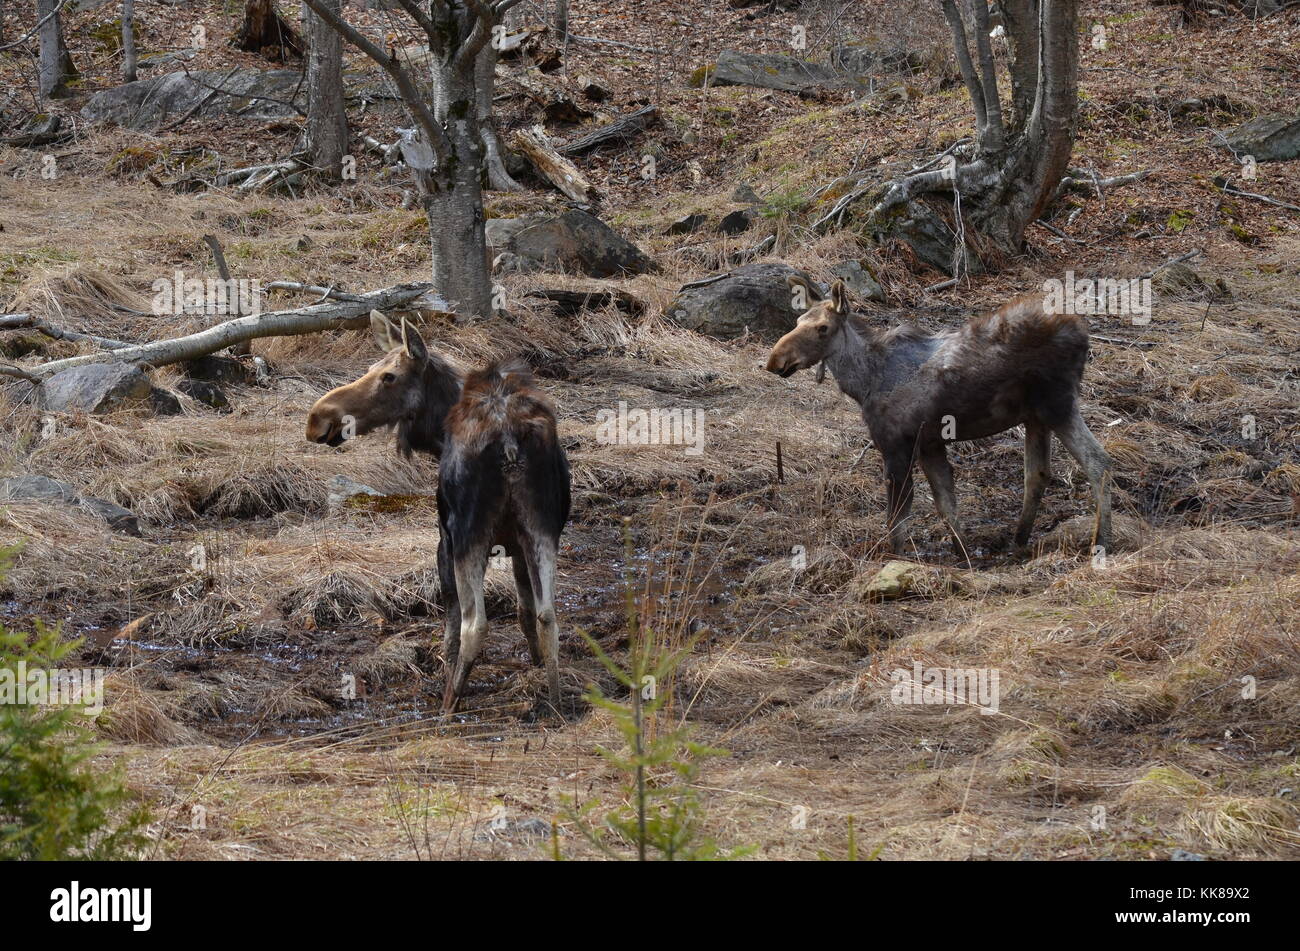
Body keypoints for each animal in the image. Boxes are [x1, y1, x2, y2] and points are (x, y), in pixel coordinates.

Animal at [305, 311, 571, 716]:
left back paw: (448, 705)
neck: (437, 435)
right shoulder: (518, 544)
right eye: (372, 368)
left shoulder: (444, 541)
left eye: (389, 376)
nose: (318, 418)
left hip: (467, 535)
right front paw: (536, 666)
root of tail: (508, 439)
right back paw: (555, 705)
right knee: (549, 616)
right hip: (542, 528)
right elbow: (527, 611)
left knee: (474, 624)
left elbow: (449, 628)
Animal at [765, 278, 1112, 558]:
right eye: (798, 320)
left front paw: (894, 561)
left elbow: (897, 520)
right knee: (1037, 475)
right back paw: (1019, 540)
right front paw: (965, 557)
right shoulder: (930, 444)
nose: (775, 359)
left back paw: (1101, 541)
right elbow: (946, 506)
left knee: (1097, 461)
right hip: (1035, 416)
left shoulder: (896, 446)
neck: (864, 382)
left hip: (1058, 404)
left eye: (823, 328)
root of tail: (1083, 333)